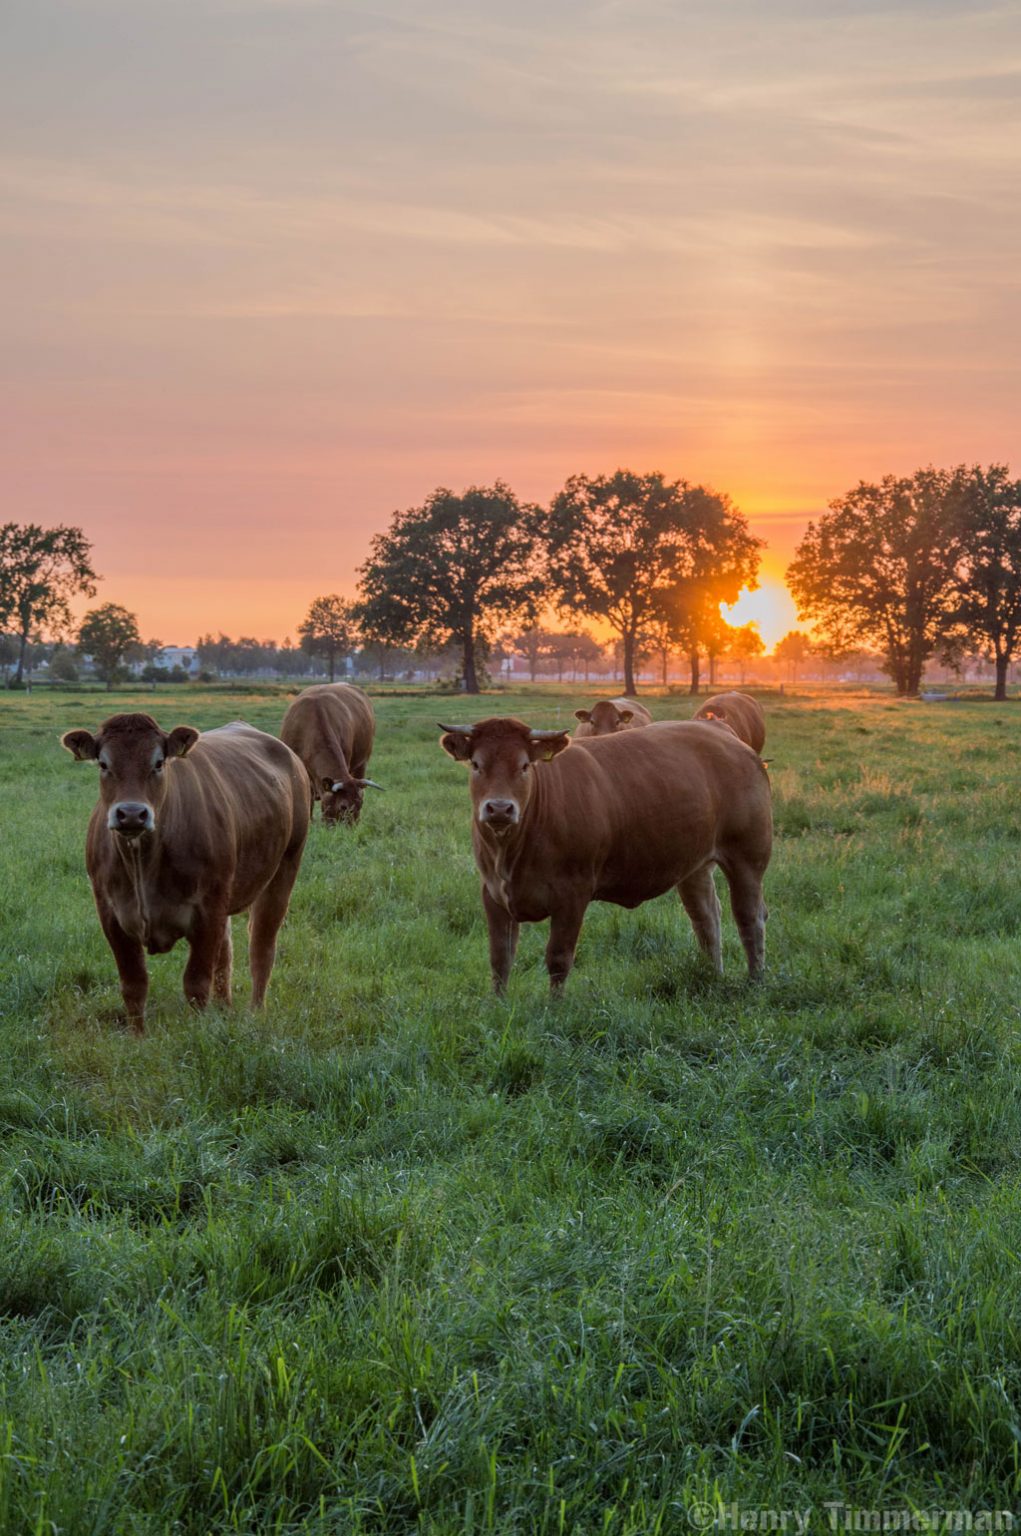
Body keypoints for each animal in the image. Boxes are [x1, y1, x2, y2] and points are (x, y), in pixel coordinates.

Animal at [61, 713, 311, 1031]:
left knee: (261, 947)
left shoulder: (207, 911)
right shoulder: (111, 914)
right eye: (104, 764)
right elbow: (133, 985)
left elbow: (196, 984)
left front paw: (197, 1032)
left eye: (158, 762)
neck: (143, 864)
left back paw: (255, 1011)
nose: (132, 814)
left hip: (285, 868)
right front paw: (138, 1036)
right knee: (225, 954)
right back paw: (225, 1008)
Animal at [439, 716, 771, 995]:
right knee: (706, 918)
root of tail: (721, 732)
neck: (512, 851)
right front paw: (498, 1004)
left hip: (747, 857)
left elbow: (558, 957)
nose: (499, 808)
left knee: (749, 918)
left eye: (523, 766)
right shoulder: (493, 893)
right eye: (476, 765)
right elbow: (500, 958)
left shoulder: (573, 895)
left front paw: (554, 1008)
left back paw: (756, 981)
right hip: (694, 866)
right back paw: (713, 975)